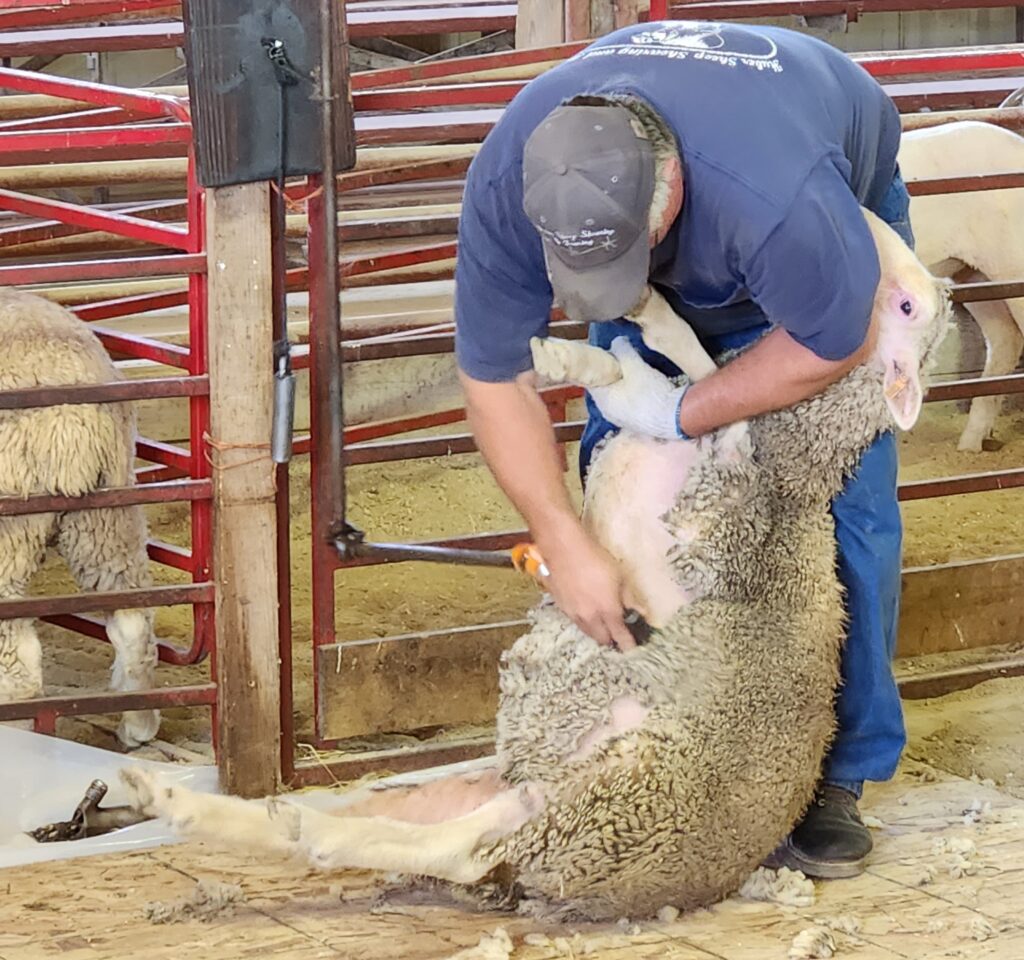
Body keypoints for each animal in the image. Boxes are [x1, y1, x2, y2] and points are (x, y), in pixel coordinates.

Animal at [119, 208, 951, 920]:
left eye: (909, 310)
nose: (864, 221)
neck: (802, 460)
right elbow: (686, 363)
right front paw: (595, 345)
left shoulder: (736, 466)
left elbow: (687, 372)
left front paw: (591, 351)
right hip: (508, 790)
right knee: (392, 825)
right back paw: (190, 804)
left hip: (606, 799)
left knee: (455, 851)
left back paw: (260, 822)